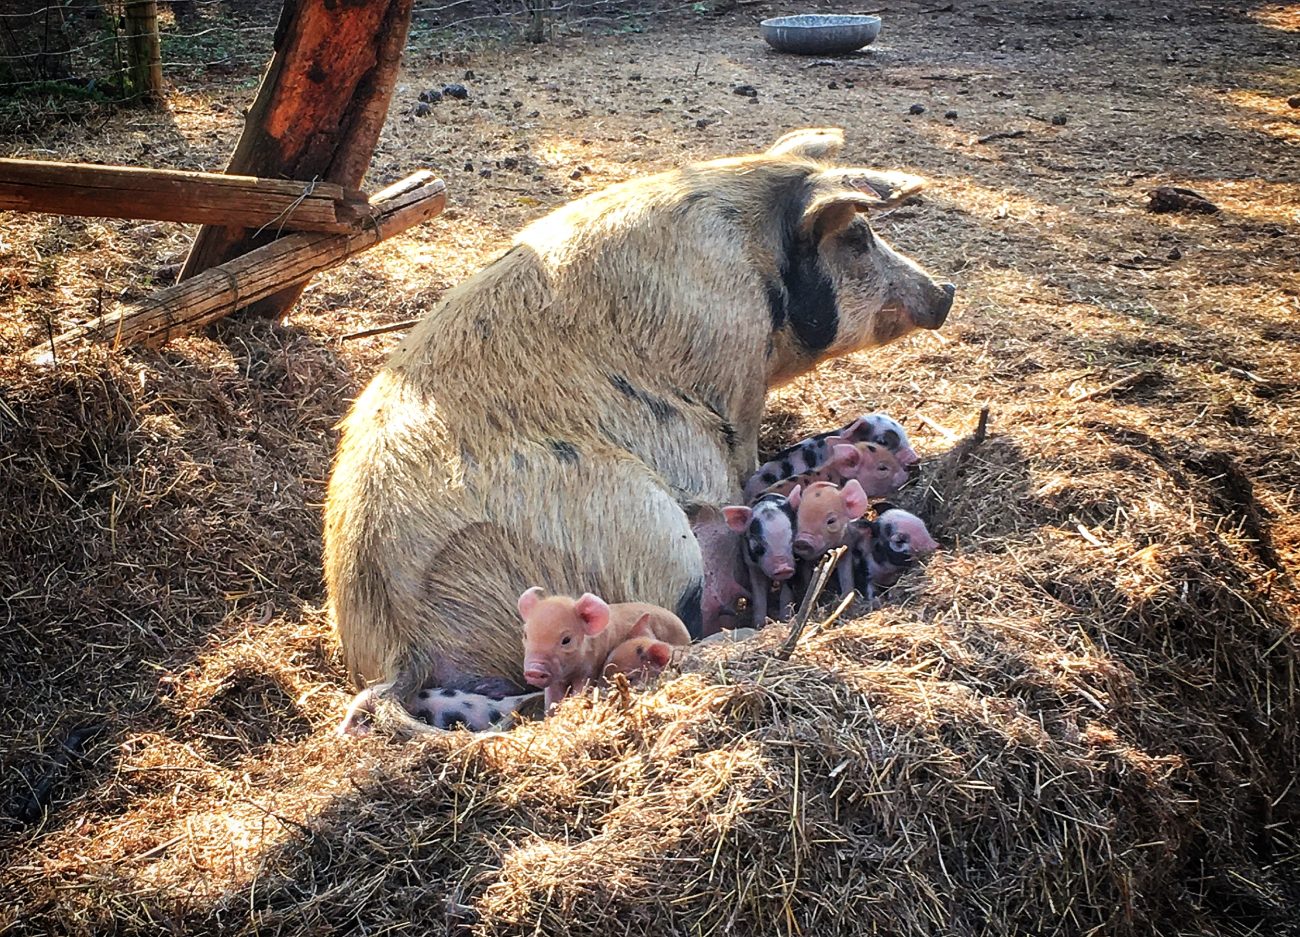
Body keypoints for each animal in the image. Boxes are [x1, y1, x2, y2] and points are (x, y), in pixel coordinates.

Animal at [519, 587, 691, 710]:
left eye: (566, 640)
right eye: (526, 634)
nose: (534, 670)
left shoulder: (590, 669)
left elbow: (579, 691)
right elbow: (551, 700)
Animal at [722, 488, 801, 628]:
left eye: (793, 539)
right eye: (757, 544)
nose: (783, 568)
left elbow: (786, 594)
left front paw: (786, 620)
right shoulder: (752, 565)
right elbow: (759, 595)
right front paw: (759, 626)